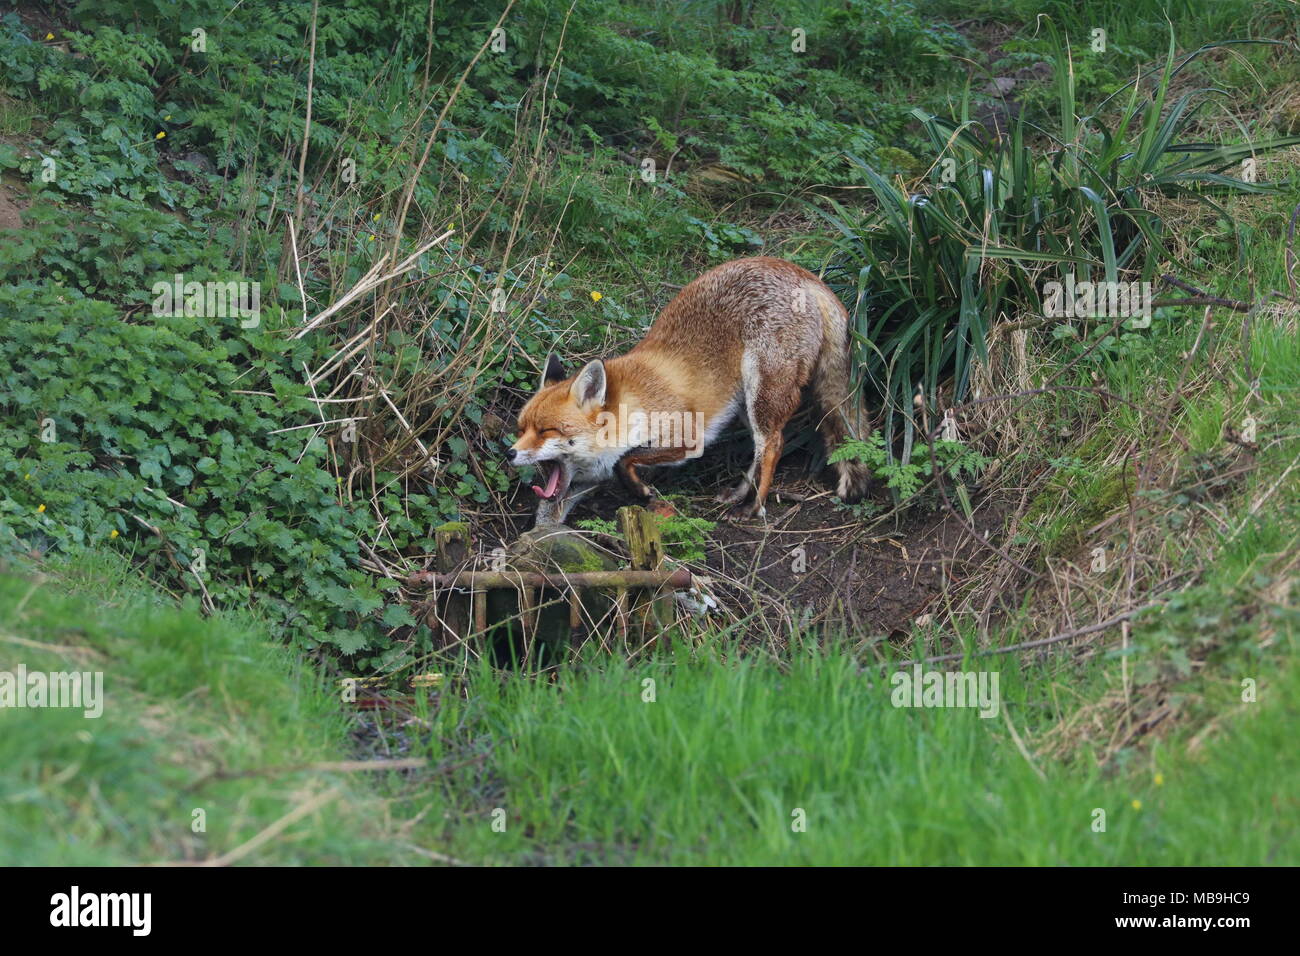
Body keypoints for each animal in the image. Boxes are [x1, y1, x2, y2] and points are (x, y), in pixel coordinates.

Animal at [507, 256, 871, 525]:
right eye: (522, 429)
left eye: (547, 430)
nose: (509, 453)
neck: (632, 406)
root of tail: (806, 275)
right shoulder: (584, 478)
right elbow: (550, 513)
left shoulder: (688, 436)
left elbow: (627, 459)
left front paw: (639, 489)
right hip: (745, 403)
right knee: (759, 449)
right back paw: (740, 493)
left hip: (762, 392)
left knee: (772, 446)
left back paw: (754, 507)